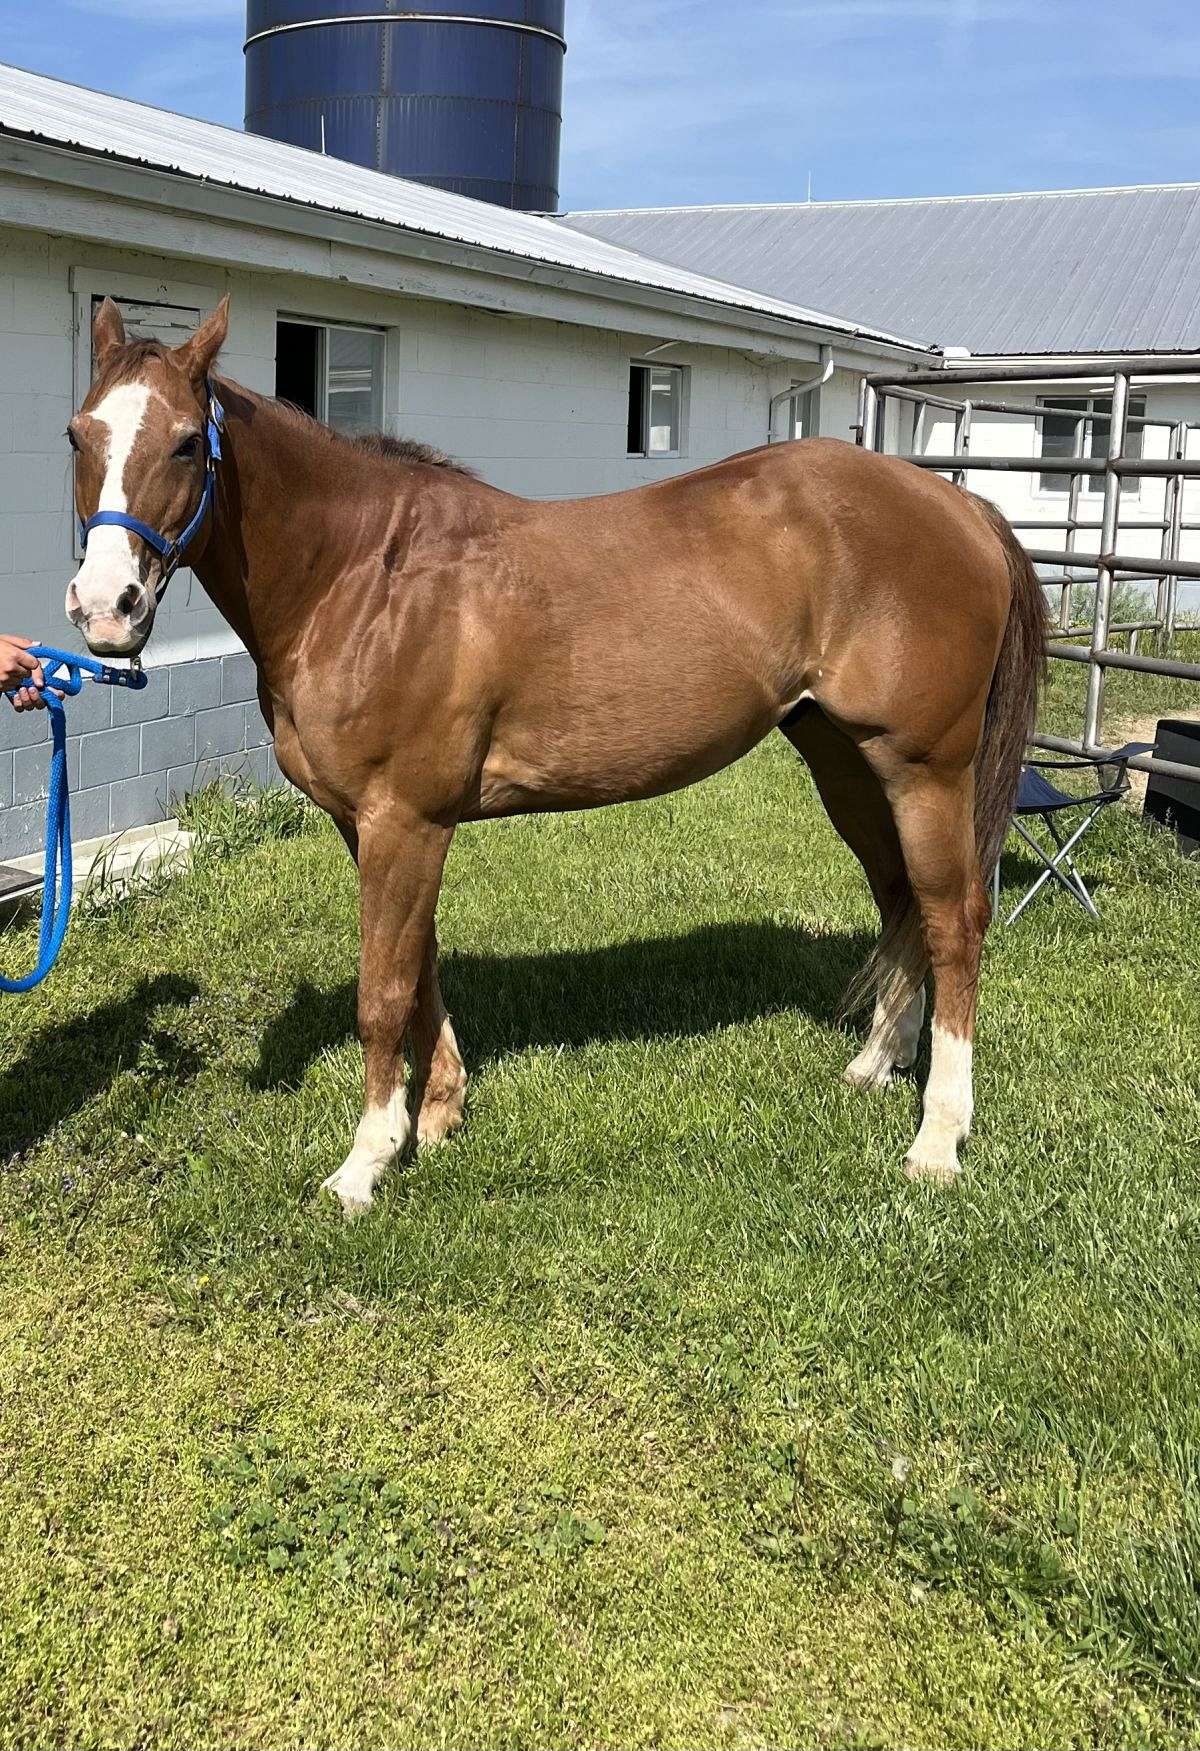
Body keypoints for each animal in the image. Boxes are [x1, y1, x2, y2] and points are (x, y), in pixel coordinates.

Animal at [65, 296, 1044, 1214]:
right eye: (78, 434)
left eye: (185, 444)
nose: (105, 609)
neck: (365, 576)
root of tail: (959, 504)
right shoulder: (381, 825)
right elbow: (419, 964)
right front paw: (440, 1112)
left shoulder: (403, 820)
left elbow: (382, 990)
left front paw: (365, 1163)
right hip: (846, 762)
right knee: (902, 900)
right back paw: (877, 1063)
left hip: (926, 769)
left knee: (955, 920)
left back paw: (938, 1138)